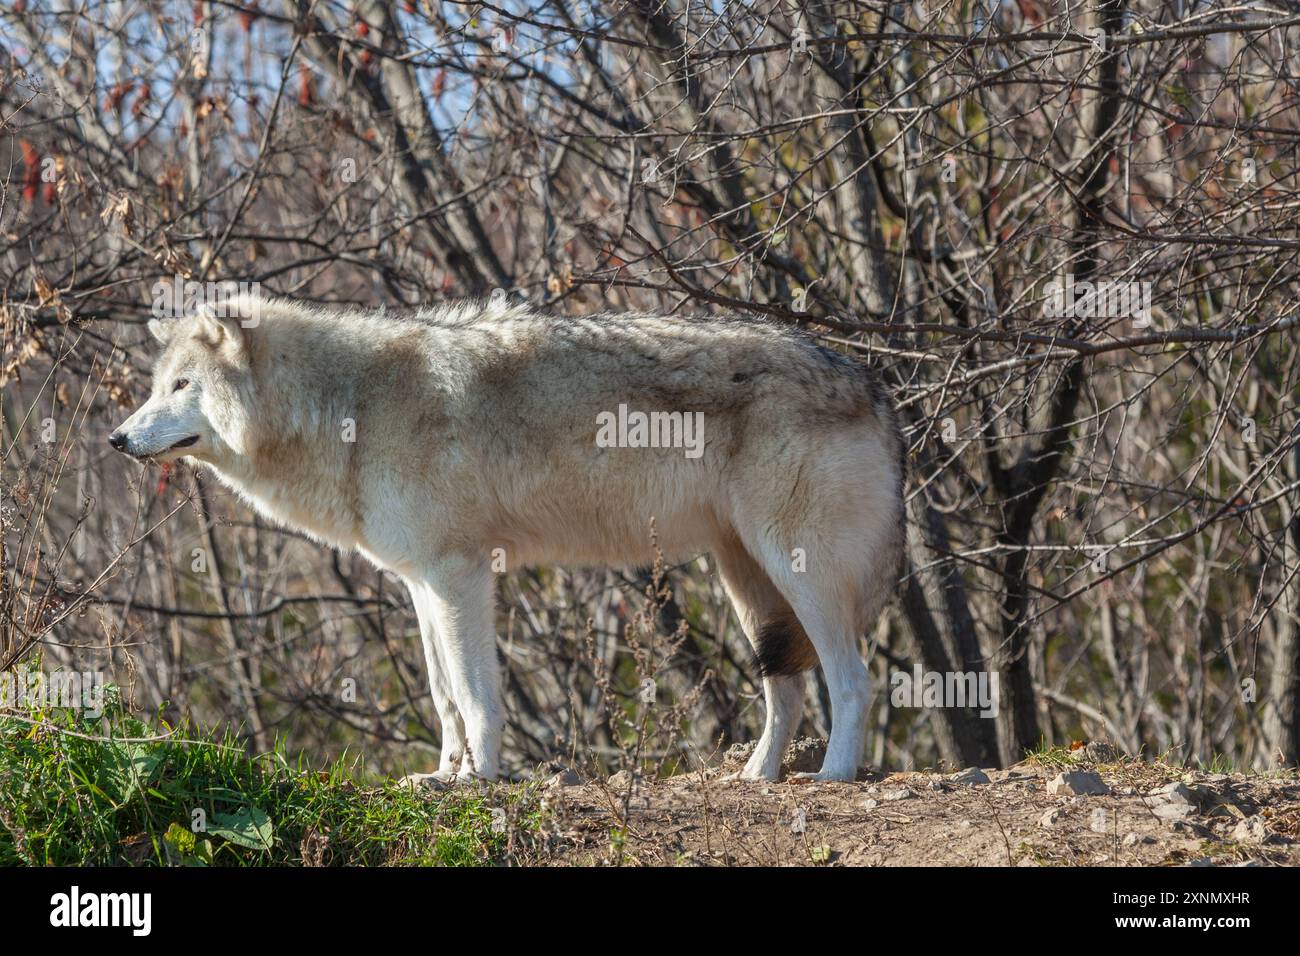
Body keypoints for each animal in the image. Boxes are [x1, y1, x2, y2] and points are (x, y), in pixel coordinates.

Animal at [109, 294, 906, 782]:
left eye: (181, 386)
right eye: (157, 386)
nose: (117, 440)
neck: (350, 406)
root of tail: (874, 385)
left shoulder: (460, 575)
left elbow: (476, 694)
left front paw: (481, 777)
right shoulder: (422, 583)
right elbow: (443, 695)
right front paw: (444, 773)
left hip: (800, 574)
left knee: (853, 679)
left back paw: (834, 773)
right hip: (748, 586)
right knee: (788, 690)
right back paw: (756, 775)